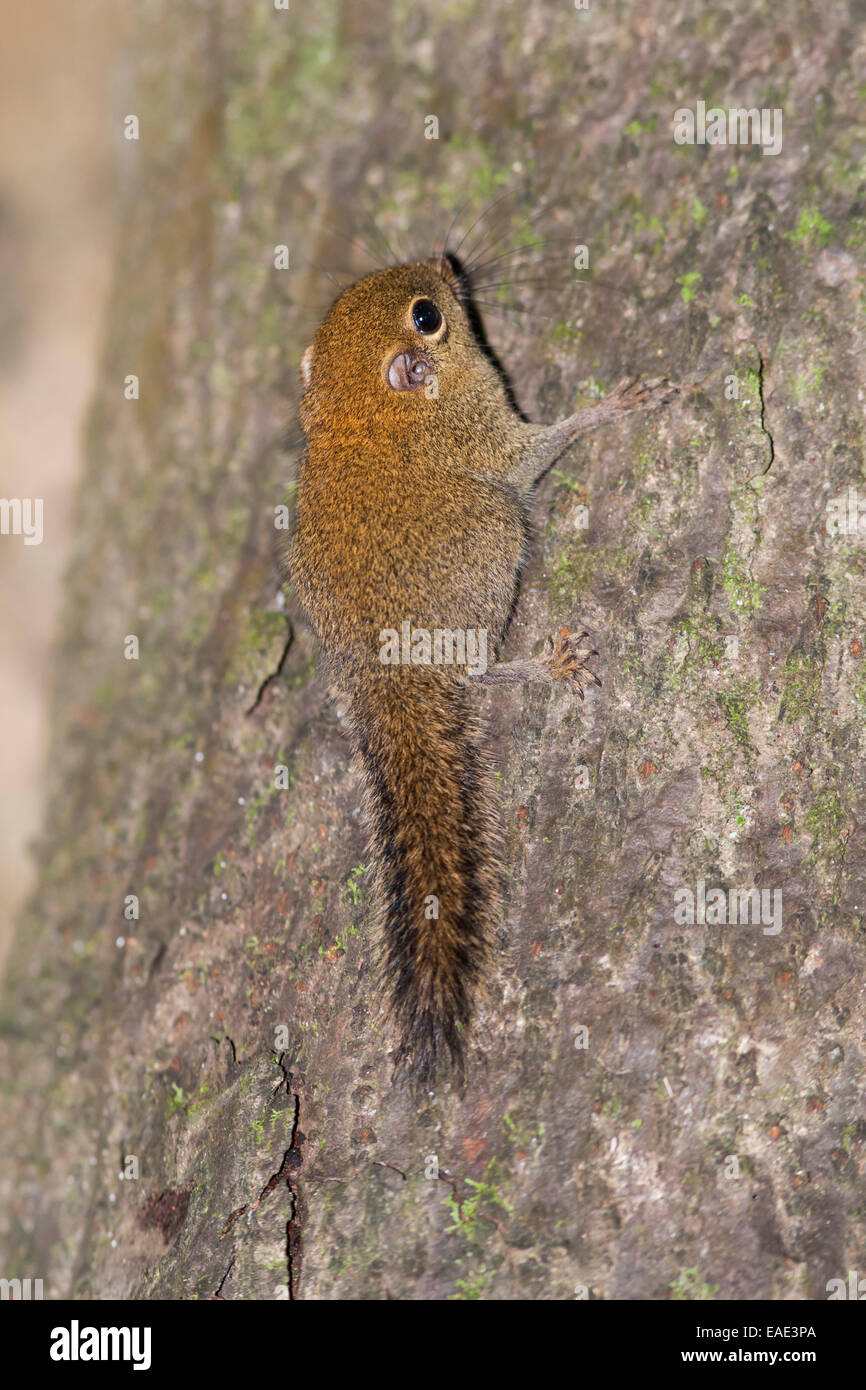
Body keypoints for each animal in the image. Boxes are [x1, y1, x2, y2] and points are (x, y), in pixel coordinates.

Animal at [288, 253, 677, 1082]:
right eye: (427, 316)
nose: (447, 261)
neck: (363, 413)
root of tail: (387, 684)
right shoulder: (489, 439)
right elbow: (540, 450)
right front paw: (610, 407)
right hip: (496, 543)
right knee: (474, 673)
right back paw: (544, 667)